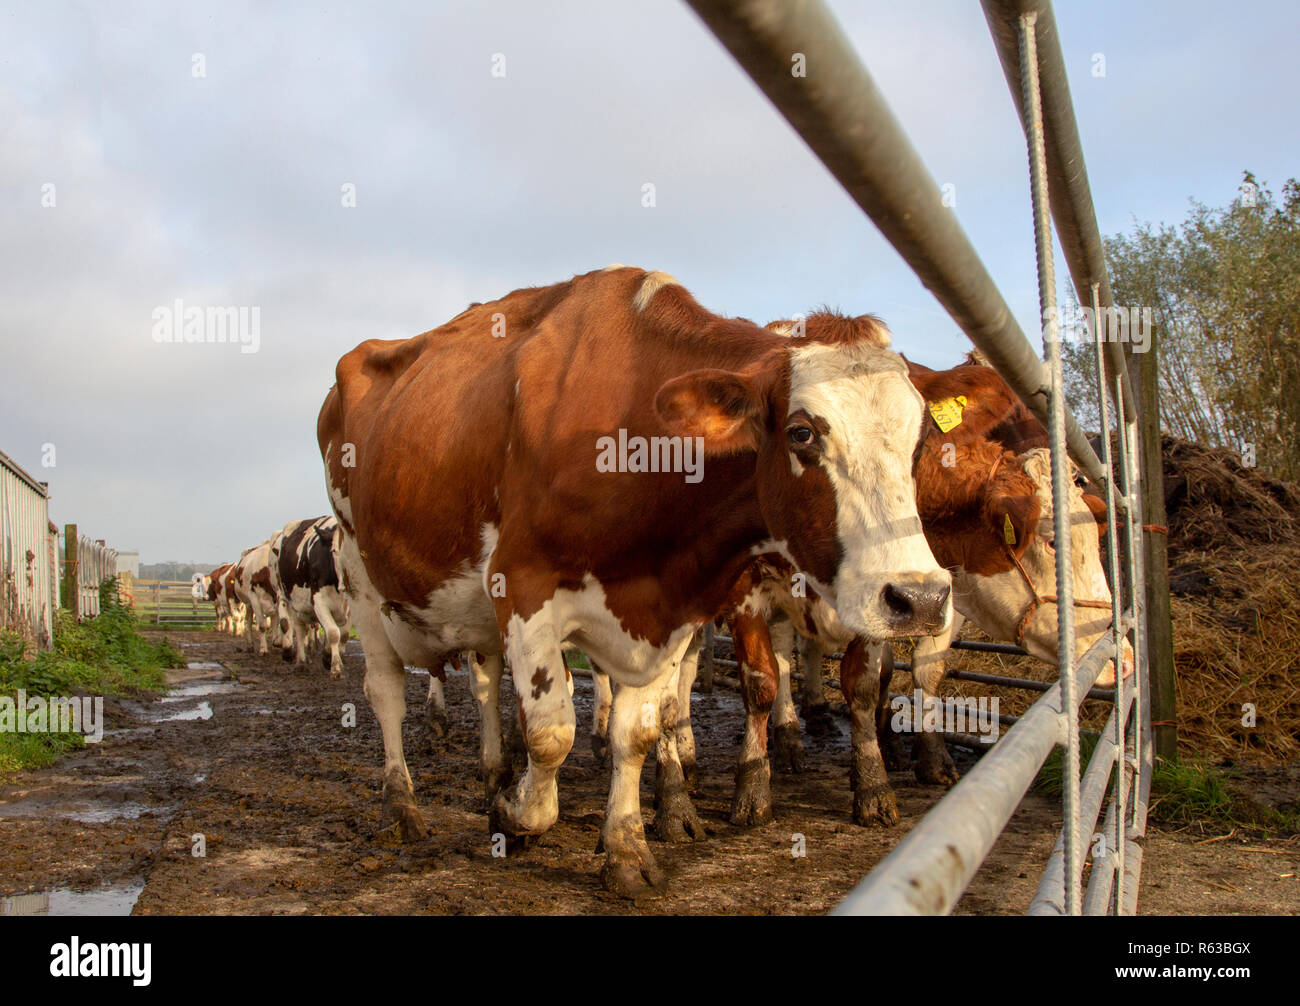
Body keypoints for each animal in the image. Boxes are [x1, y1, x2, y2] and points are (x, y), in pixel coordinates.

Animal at [275, 515, 351, 678]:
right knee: (297, 628)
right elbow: (333, 632)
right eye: (334, 551)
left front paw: (328, 658)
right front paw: (335, 667)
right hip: (290, 599)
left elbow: (342, 633)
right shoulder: (318, 600)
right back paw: (300, 661)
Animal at [318, 266, 951, 897]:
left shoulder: (668, 611)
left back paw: (495, 774)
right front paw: (517, 817)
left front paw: (623, 848)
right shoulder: (521, 582)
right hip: (361, 578)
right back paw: (401, 808)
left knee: (485, 685)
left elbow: (638, 734)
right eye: (802, 433)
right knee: (386, 694)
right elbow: (552, 732)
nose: (921, 597)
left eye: (920, 438)